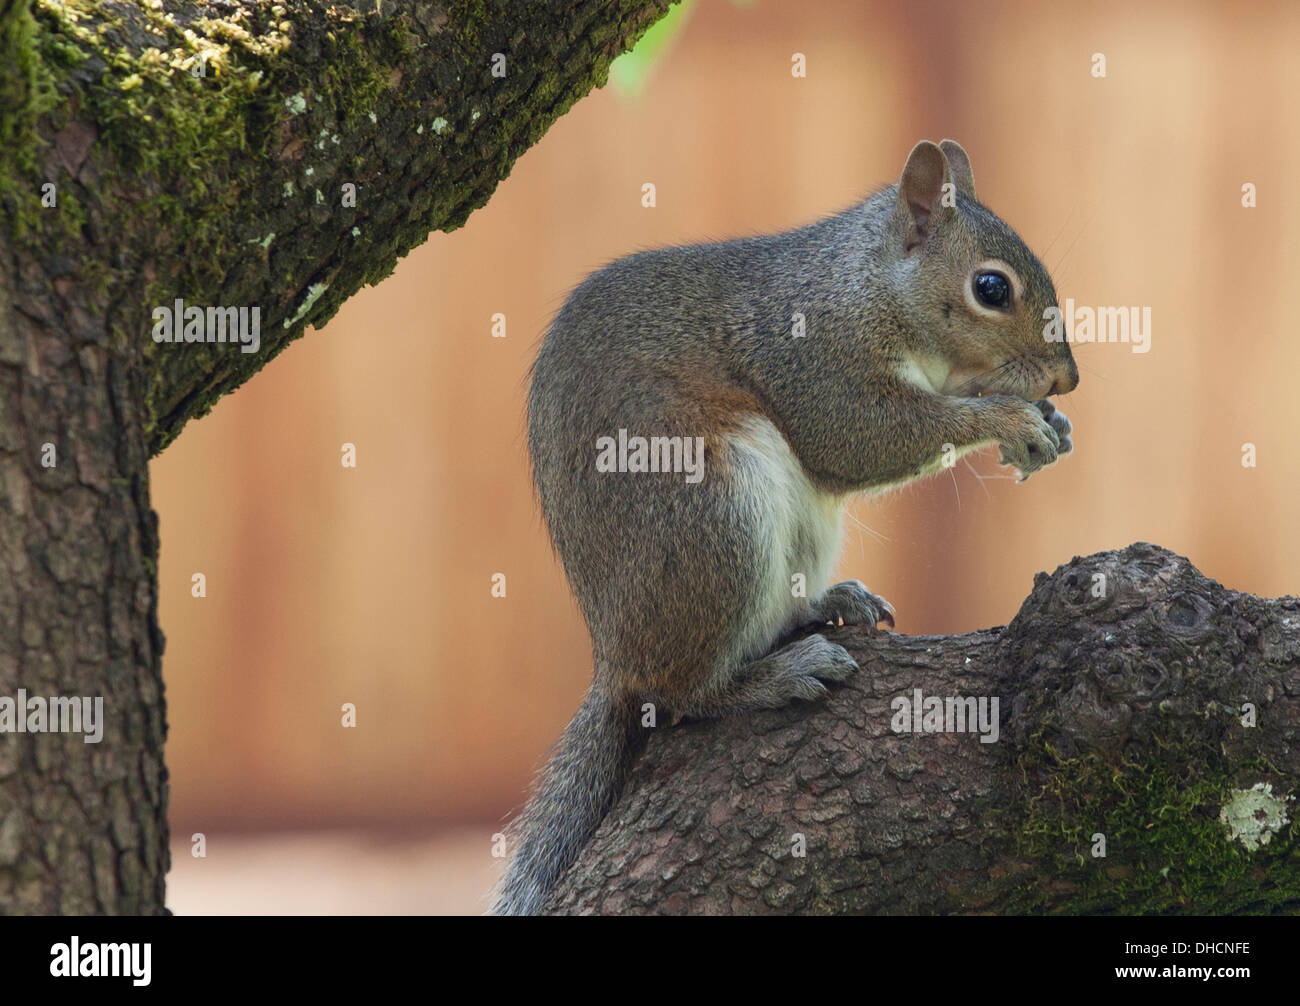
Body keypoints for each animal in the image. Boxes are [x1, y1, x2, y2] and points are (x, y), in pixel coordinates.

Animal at [493, 139, 1078, 915]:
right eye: (991, 288)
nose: (1068, 379)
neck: (864, 285)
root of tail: (615, 655)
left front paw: (1050, 423)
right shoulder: (813, 361)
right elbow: (857, 439)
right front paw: (1008, 418)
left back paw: (827, 605)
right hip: (714, 518)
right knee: (680, 694)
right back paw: (776, 676)